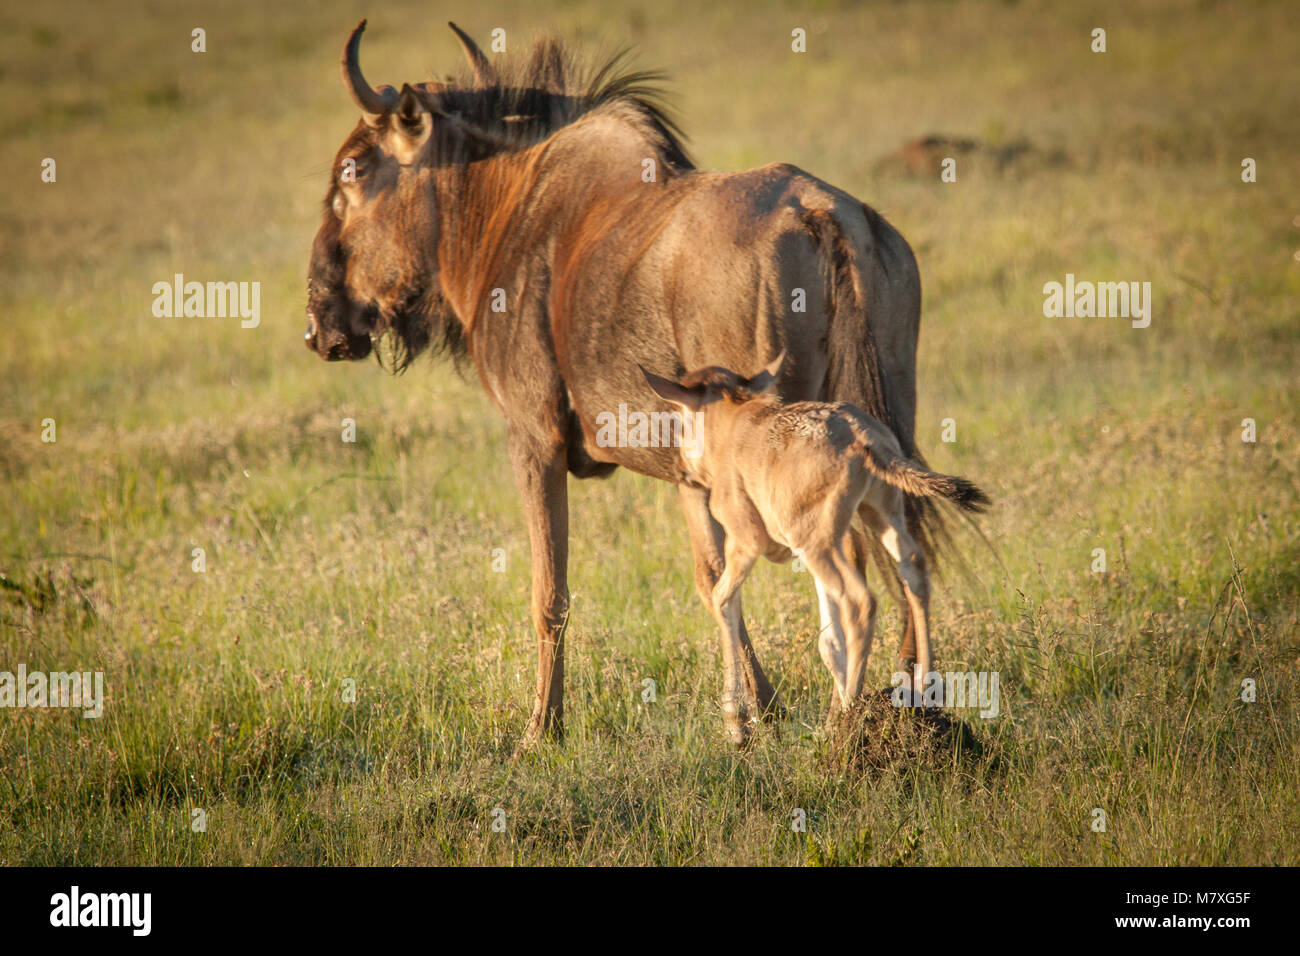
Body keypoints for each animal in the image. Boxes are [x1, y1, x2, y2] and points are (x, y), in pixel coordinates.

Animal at [642, 354, 989, 745]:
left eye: (682, 418)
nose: (684, 471)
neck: (737, 425)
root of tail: (861, 436)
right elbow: (829, 642)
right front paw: (825, 724)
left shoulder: (744, 543)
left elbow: (721, 598)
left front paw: (736, 724)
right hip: (876, 516)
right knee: (914, 569)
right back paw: (922, 697)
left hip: (819, 543)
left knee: (860, 601)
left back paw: (853, 714)